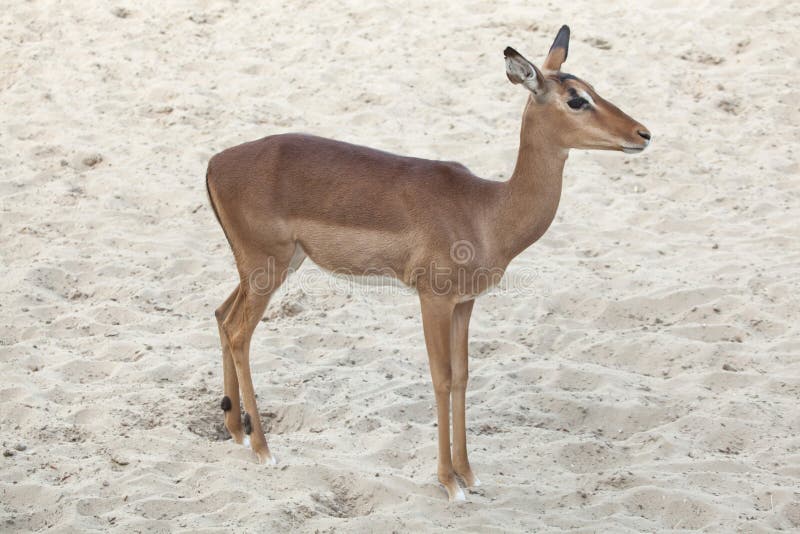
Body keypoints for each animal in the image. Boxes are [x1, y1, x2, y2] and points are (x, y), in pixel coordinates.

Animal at [206, 25, 650, 501]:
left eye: (592, 88)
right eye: (576, 99)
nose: (643, 134)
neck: (487, 210)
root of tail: (214, 163)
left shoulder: (464, 303)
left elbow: (463, 377)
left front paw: (469, 475)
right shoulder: (433, 299)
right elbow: (440, 378)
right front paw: (449, 484)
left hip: (272, 267)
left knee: (221, 315)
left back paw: (237, 432)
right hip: (267, 268)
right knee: (239, 333)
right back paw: (264, 450)